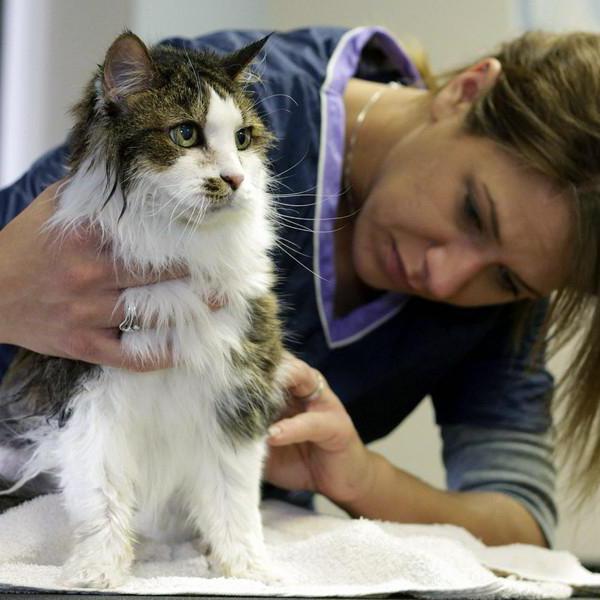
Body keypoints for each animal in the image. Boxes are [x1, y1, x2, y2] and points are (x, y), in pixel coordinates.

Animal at [0, 30, 288, 588]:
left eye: (243, 139)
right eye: (185, 134)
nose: (236, 180)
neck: (176, 246)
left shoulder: (236, 392)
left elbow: (234, 501)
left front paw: (246, 570)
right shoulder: (88, 400)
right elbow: (102, 500)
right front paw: (98, 571)